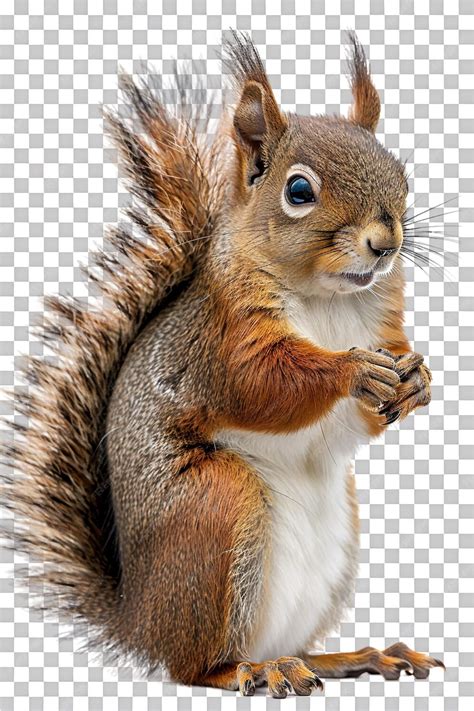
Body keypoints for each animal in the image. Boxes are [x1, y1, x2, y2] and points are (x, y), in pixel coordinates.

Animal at [2, 31, 445, 697]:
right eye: (298, 192)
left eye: (400, 173)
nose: (384, 242)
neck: (329, 302)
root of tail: (139, 622)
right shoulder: (222, 342)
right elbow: (261, 387)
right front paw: (349, 372)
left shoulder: (379, 329)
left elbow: (356, 419)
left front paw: (417, 378)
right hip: (216, 508)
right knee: (195, 667)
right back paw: (250, 670)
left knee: (293, 649)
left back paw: (346, 657)